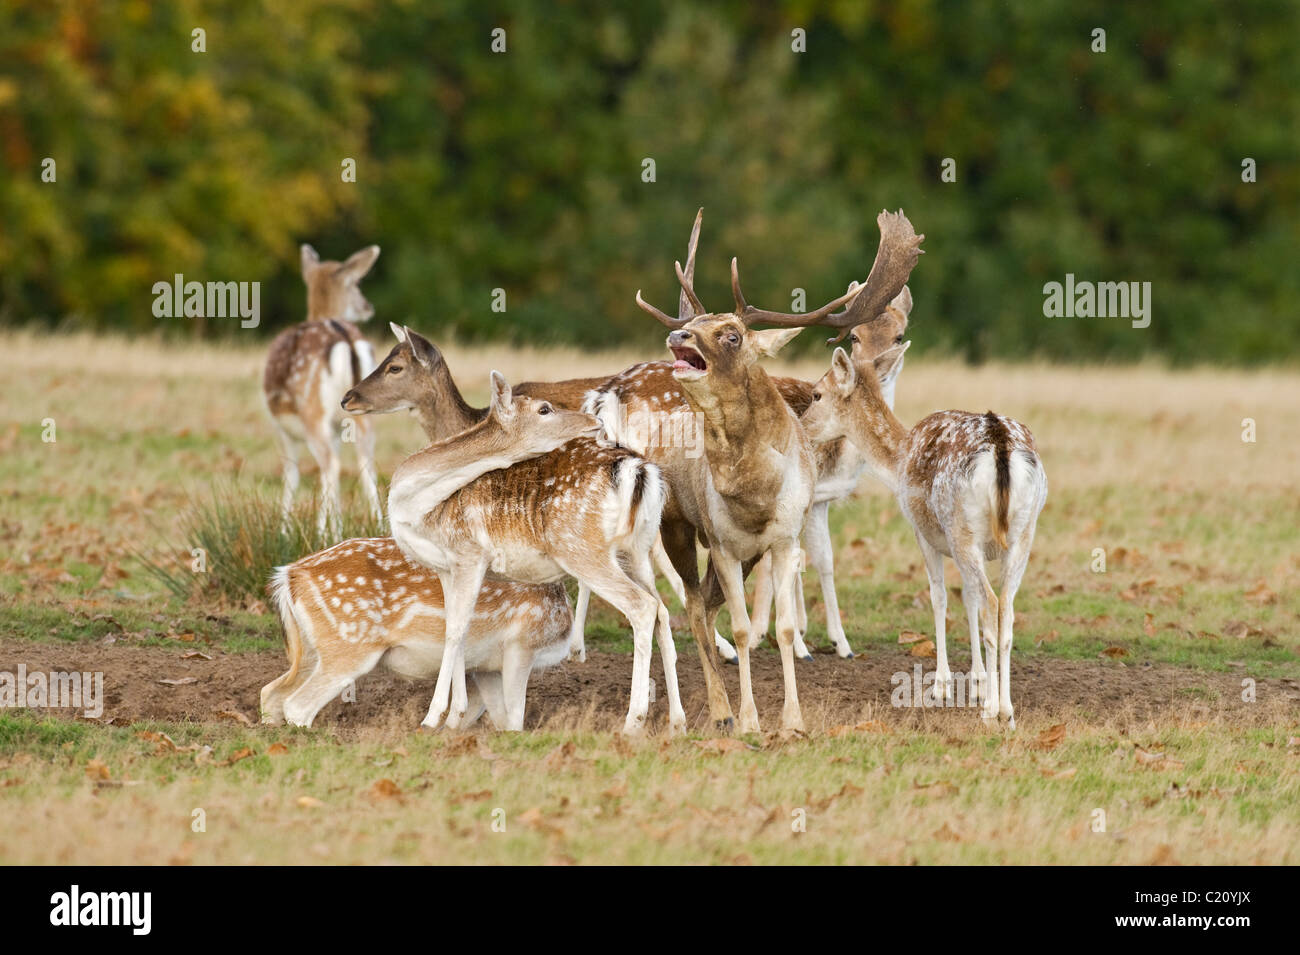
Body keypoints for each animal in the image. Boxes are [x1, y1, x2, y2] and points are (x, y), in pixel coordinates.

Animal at [260, 537, 572, 730]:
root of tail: (288, 577)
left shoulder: (487, 665)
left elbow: (497, 719)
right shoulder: (523, 643)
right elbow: (516, 718)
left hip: (311, 650)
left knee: (270, 694)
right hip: (350, 644)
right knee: (297, 705)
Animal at [263, 244, 383, 536]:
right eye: (356, 284)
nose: (368, 306)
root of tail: (346, 340)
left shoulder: (281, 428)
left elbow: (291, 475)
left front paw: (285, 533)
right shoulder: (338, 430)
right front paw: (334, 527)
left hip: (312, 411)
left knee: (329, 464)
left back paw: (320, 535)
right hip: (366, 413)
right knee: (366, 463)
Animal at [384, 370, 686, 736]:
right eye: (544, 409)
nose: (594, 422)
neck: (414, 506)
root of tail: (642, 472)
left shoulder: (469, 552)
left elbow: (455, 631)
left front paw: (432, 718)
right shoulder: (445, 566)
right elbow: (457, 628)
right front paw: (456, 716)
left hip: (581, 549)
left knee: (642, 608)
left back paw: (633, 721)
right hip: (635, 551)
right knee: (662, 610)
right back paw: (678, 721)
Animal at [589, 209, 923, 734]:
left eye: (732, 334)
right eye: (697, 324)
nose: (678, 335)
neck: (756, 493)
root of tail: (608, 394)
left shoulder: (787, 530)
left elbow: (797, 596)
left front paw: (794, 714)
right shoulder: (727, 543)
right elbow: (748, 624)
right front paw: (749, 717)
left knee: (703, 604)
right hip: (675, 523)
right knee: (691, 604)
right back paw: (719, 708)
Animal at [800, 342, 1049, 728]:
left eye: (817, 394)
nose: (800, 427)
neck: (899, 459)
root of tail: (1000, 444)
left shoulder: (924, 533)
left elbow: (940, 597)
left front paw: (944, 686)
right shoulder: (966, 546)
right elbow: (969, 599)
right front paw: (978, 682)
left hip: (962, 527)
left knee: (993, 605)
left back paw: (993, 711)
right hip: (1023, 533)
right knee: (1006, 609)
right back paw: (1007, 710)